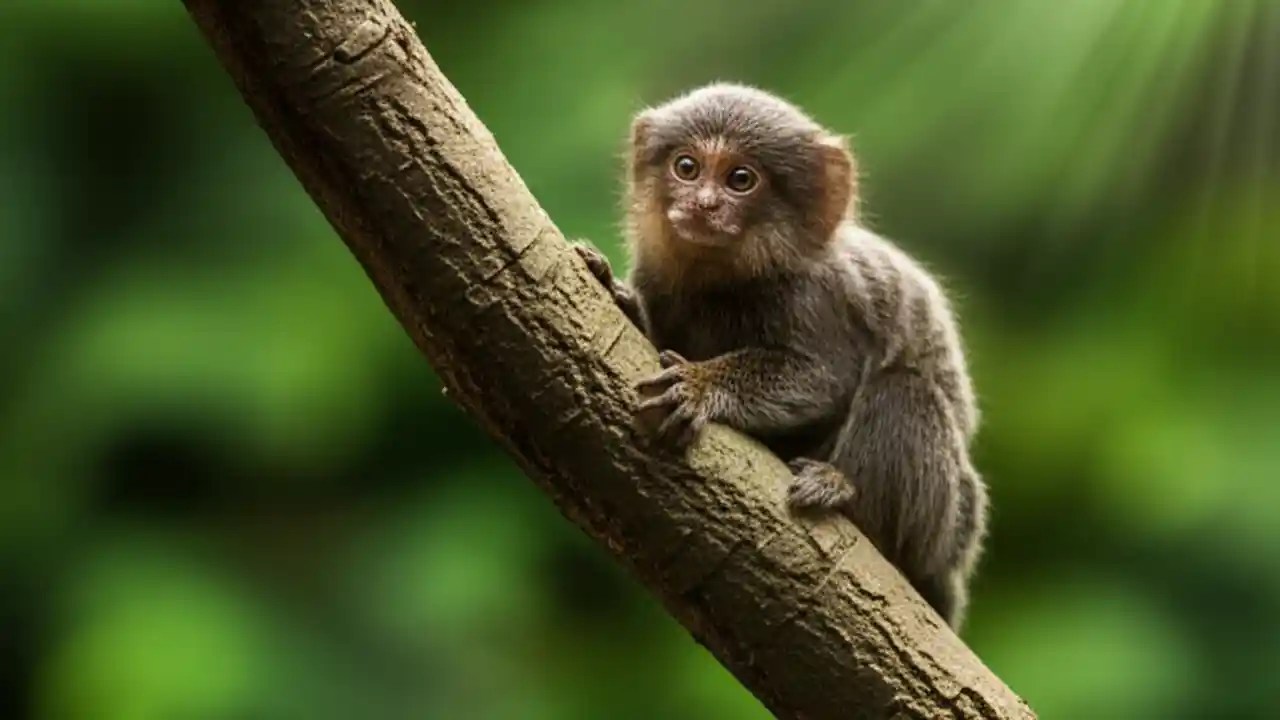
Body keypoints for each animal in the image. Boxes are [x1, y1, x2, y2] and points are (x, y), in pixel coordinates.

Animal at [574, 83, 987, 631]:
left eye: (740, 179)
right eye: (686, 167)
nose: (703, 204)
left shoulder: (814, 297)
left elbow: (821, 379)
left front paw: (703, 385)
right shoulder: (657, 278)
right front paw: (616, 294)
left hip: (944, 528)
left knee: (905, 390)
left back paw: (844, 490)